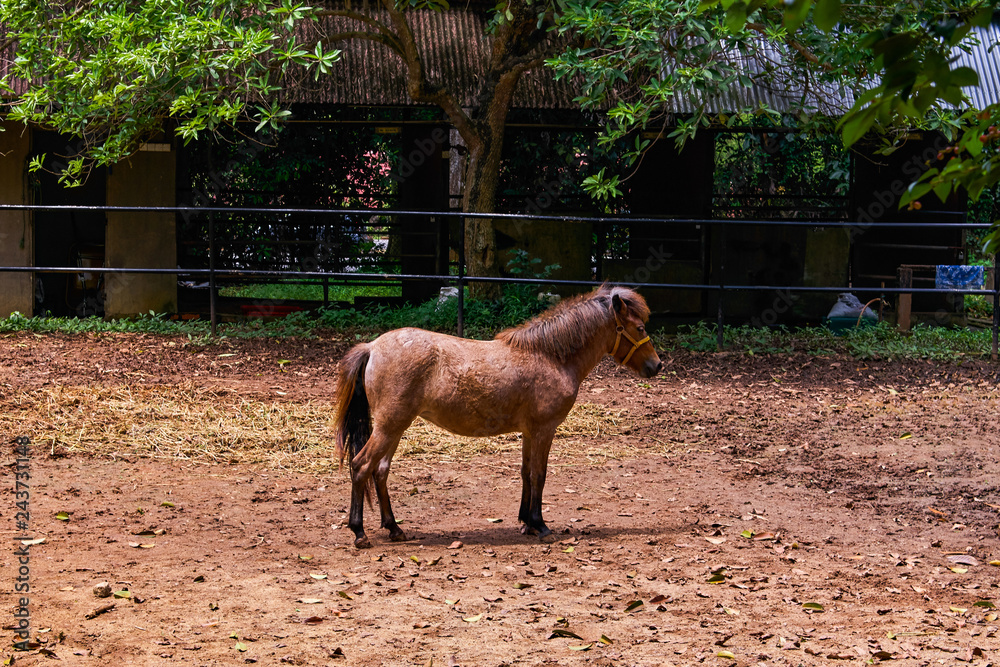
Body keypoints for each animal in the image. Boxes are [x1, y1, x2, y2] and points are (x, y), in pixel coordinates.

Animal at [332, 284, 662, 548]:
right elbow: (539, 475)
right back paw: (359, 533)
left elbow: (526, 473)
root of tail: (372, 347)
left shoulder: (529, 432)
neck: (551, 357)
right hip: (389, 426)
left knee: (380, 470)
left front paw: (526, 523)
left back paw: (394, 528)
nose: (656, 366)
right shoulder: (544, 430)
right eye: (640, 329)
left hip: (395, 427)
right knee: (361, 466)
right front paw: (540, 525)